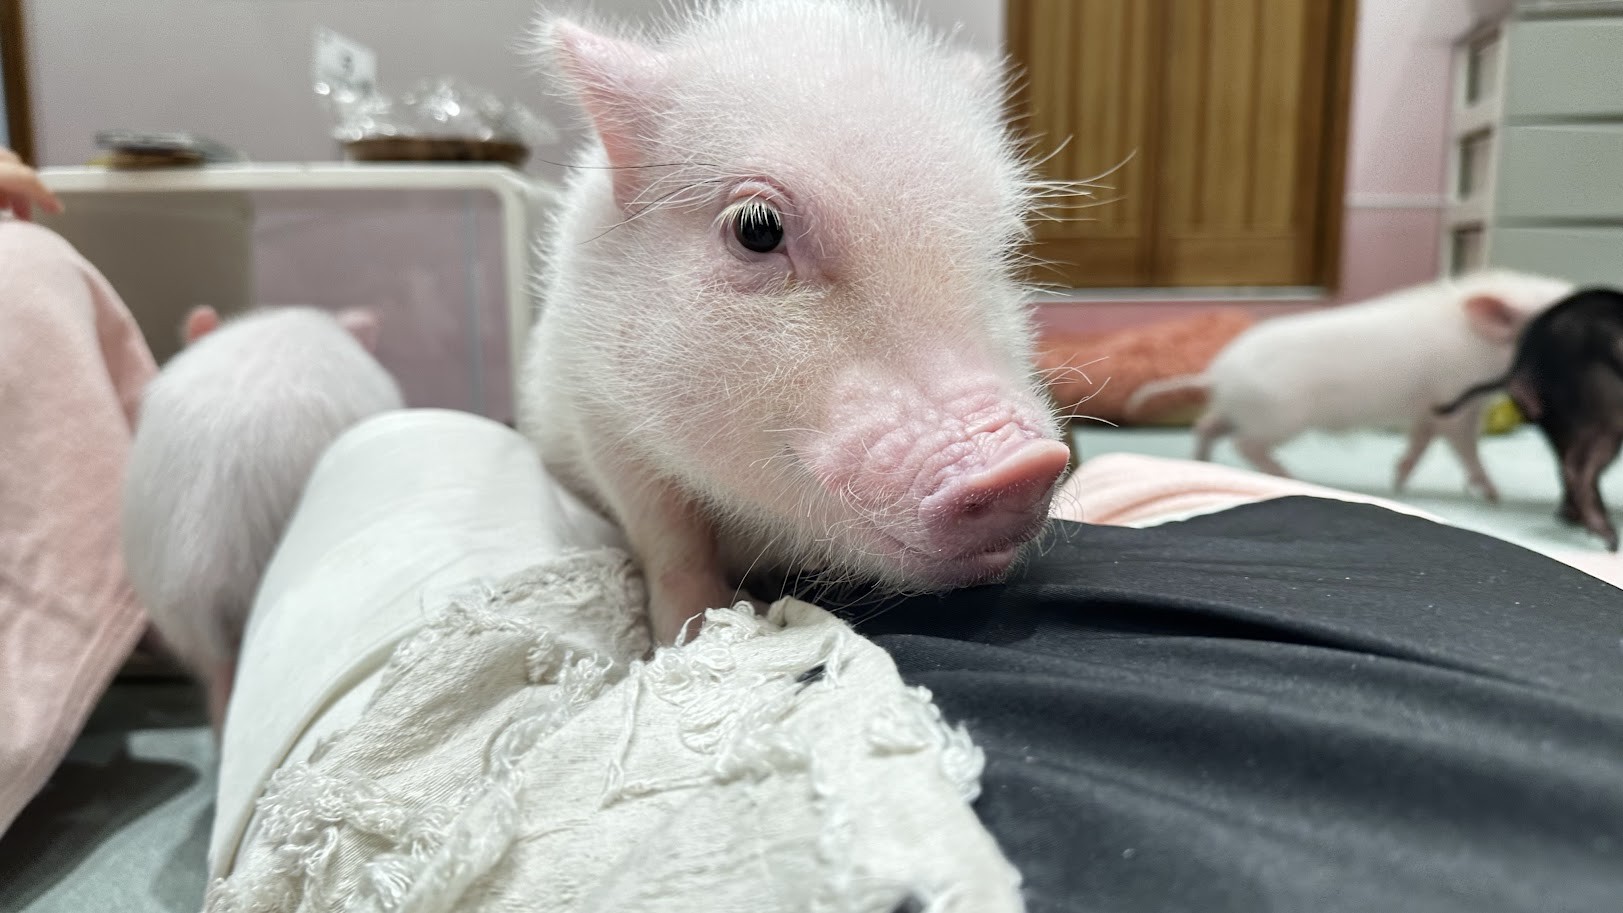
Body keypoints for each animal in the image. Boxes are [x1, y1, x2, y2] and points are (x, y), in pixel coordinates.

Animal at [517, 0, 1073, 645]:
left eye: (1002, 248)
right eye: (757, 228)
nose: (1022, 469)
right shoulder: (597, 413)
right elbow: (670, 539)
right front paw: (689, 636)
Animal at [1122, 270, 1574, 500]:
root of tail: (1219, 371)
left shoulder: (1430, 405)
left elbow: (1421, 440)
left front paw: (1399, 483)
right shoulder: (1454, 397)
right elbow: (1463, 445)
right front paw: (1494, 494)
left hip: (1239, 410)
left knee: (1208, 426)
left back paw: (1202, 463)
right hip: (1280, 418)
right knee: (1245, 444)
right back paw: (1295, 477)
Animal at [1435, 287, 1623, 551]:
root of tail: (1523, 360)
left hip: (1553, 418)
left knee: (1566, 463)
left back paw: (1572, 517)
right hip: (1604, 406)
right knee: (1578, 467)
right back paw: (1607, 537)